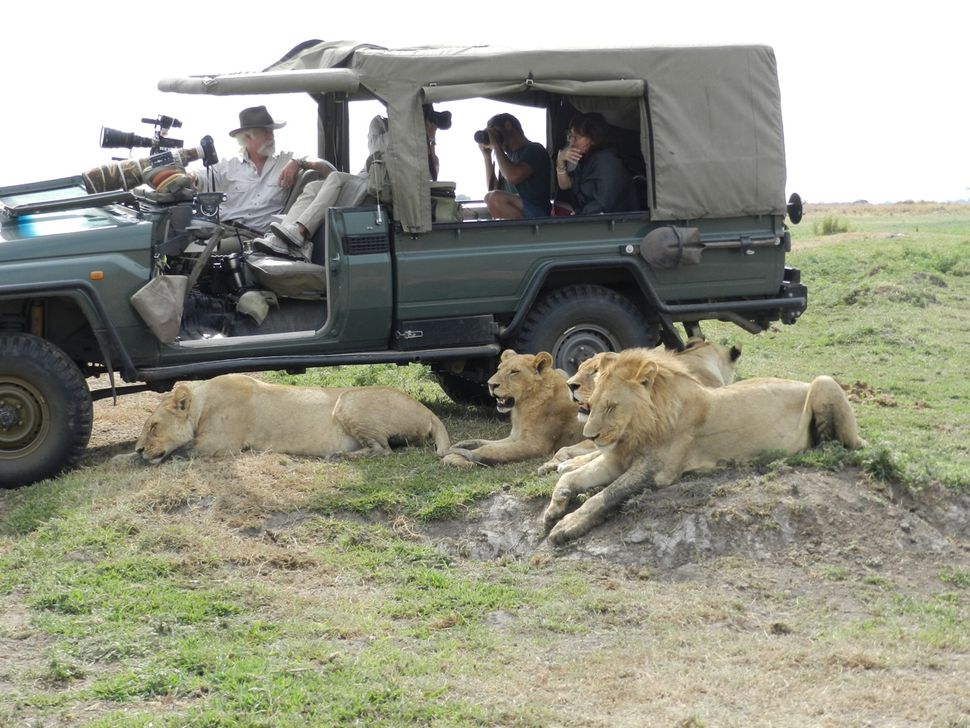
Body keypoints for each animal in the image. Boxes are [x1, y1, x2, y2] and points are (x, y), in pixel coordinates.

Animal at [132, 373, 450, 463]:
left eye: (154, 426)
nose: (138, 449)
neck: (202, 403)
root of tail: (427, 411)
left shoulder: (221, 445)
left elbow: (180, 450)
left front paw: (130, 458)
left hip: (349, 401)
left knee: (383, 450)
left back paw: (342, 456)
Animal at [442, 349, 585, 467]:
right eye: (499, 369)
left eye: (514, 372)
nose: (490, 384)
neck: (521, 408)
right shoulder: (515, 437)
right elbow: (488, 443)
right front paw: (464, 445)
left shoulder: (535, 445)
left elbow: (492, 450)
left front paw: (455, 457)